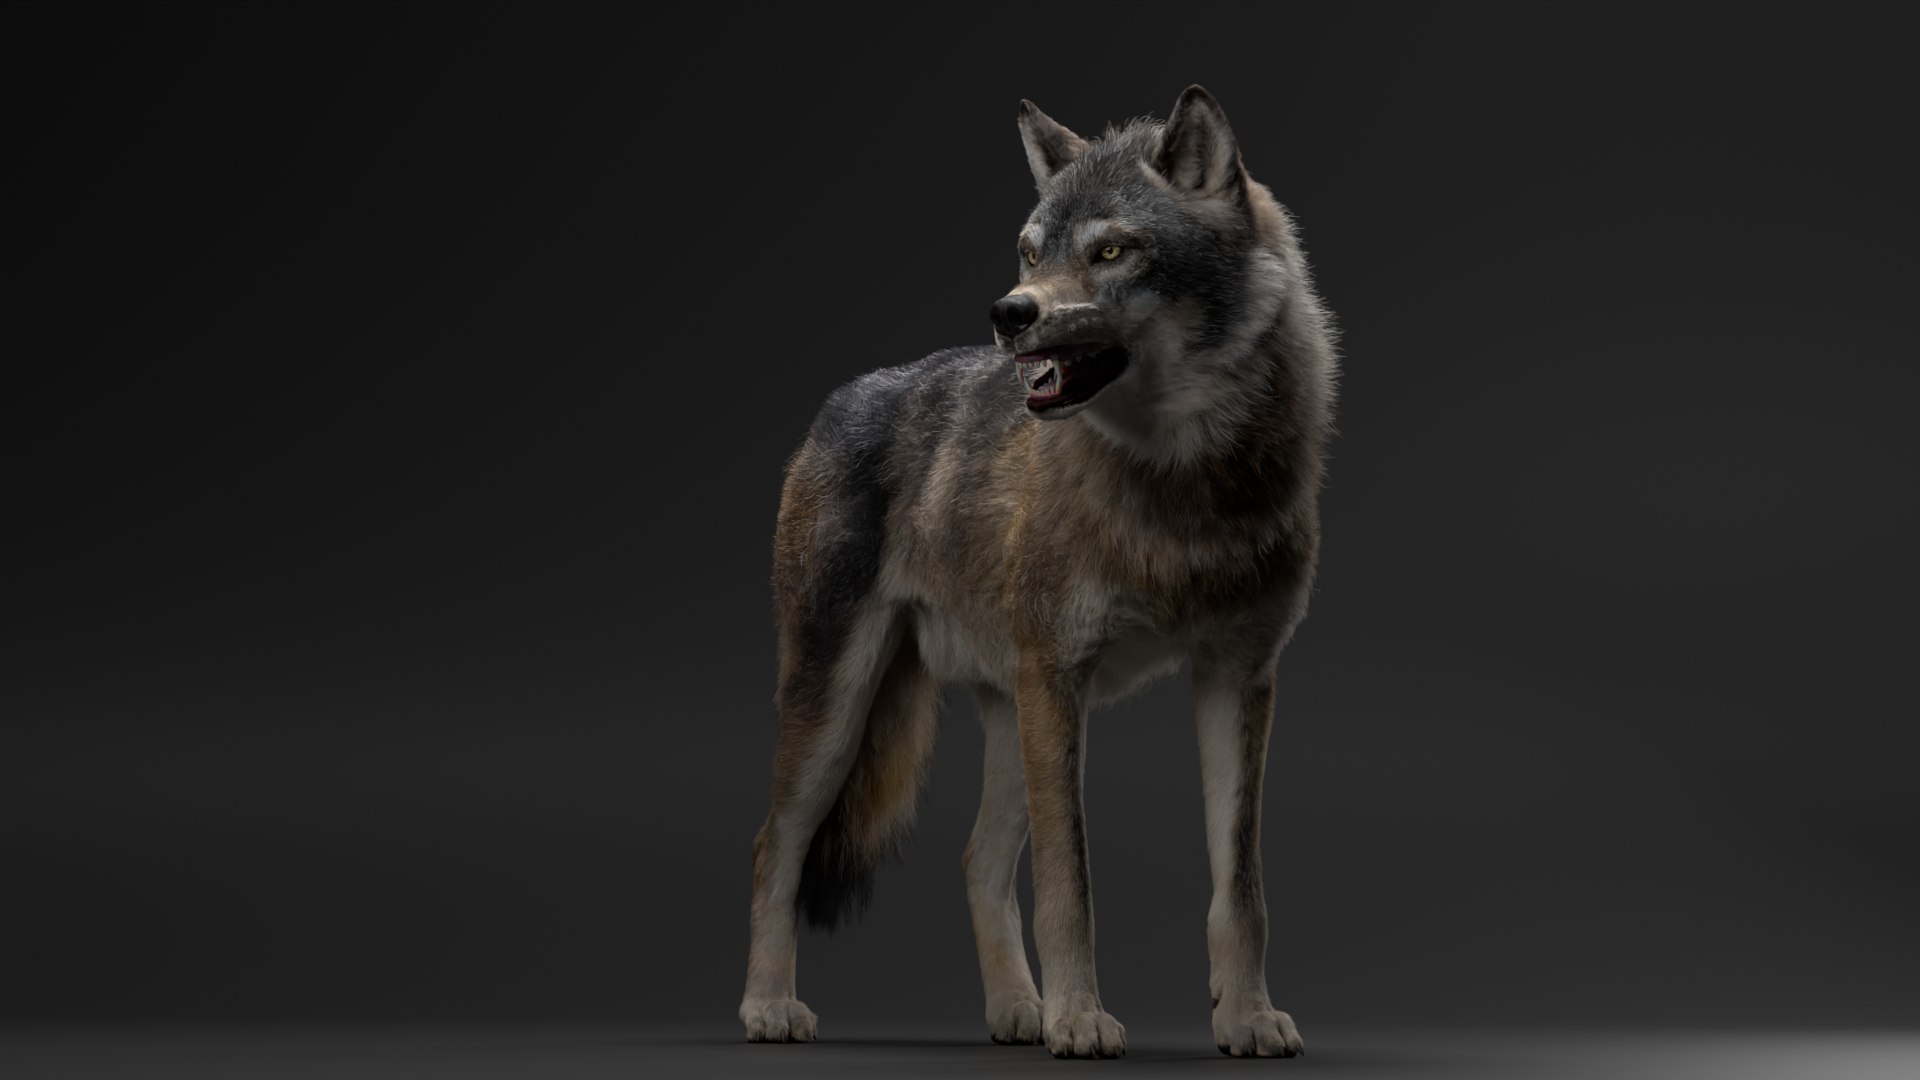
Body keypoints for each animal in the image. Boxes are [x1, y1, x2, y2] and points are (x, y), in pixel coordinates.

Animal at [739, 85, 1337, 1059]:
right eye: (1029, 251)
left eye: (1111, 250)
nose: (1008, 313)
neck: (1179, 488)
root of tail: (841, 400)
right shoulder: (1061, 674)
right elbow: (1071, 881)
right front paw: (1082, 1019)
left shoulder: (1238, 676)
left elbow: (1239, 884)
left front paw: (1244, 1018)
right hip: (840, 708)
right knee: (773, 847)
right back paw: (767, 1008)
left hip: (1009, 713)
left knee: (977, 859)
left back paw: (1017, 1011)